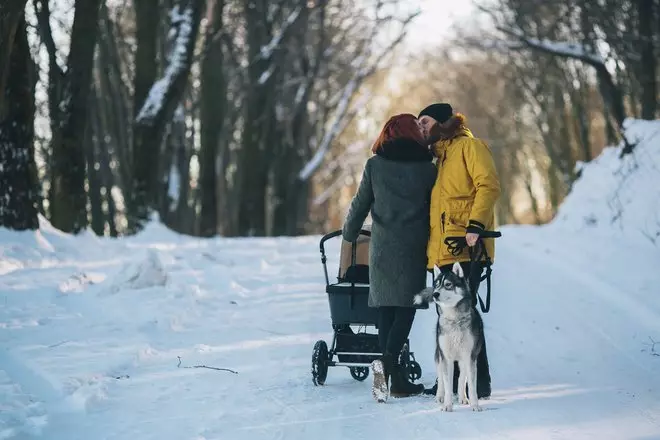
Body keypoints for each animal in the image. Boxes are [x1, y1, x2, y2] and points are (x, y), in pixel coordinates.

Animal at [416, 262, 482, 412]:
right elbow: (447, 384)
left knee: (462, 378)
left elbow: (471, 385)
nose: (435, 294)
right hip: (439, 356)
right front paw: (447, 405)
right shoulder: (446, 357)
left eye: (448, 284)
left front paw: (475, 405)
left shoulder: (469, 357)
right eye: (436, 284)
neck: (454, 320)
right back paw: (439, 396)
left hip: (464, 360)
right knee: (440, 378)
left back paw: (463, 397)